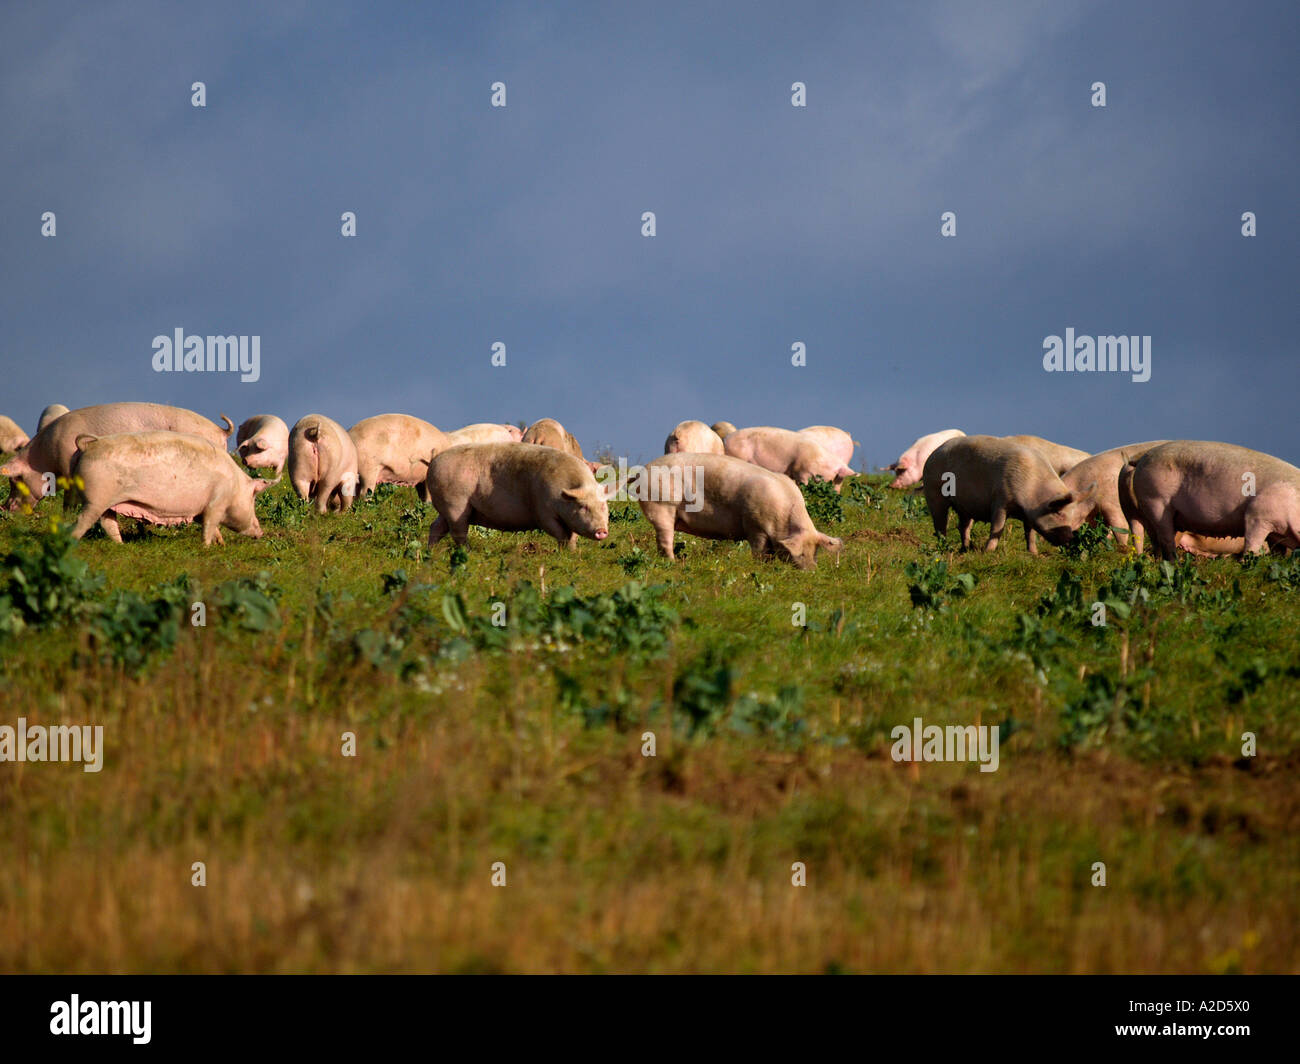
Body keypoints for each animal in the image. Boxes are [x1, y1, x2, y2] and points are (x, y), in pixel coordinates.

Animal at [69, 431, 274, 545]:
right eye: (253, 499)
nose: (261, 532)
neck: (235, 486)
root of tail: (89, 446)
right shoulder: (216, 504)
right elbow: (209, 526)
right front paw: (206, 547)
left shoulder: (203, 509)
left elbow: (212, 527)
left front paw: (221, 544)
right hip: (96, 498)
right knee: (84, 520)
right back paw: (72, 541)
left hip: (106, 503)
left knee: (108, 523)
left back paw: (121, 546)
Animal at [425, 442, 609, 551]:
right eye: (583, 506)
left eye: (603, 506)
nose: (602, 531)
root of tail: (434, 460)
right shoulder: (542, 511)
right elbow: (560, 533)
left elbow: (573, 536)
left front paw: (572, 553)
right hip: (455, 503)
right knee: (458, 532)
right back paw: (467, 552)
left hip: (447, 507)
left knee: (436, 527)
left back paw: (431, 552)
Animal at [636, 452, 842, 570]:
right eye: (800, 554)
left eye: (815, 552)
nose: (812, 572)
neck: (783, 517)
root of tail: (642, 471)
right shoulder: (754, 525)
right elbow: (759, 551)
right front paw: (761, 568)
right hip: (662, 505)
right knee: (665, 539)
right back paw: (674, 564)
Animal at [923, 435, 1078, 554]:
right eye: (1058, 513)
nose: (1071, 537)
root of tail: (932, 454)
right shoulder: (1000, 500)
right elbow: (997, 527)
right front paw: (988, 552)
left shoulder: (1029, 514)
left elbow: (1030, 533)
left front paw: (1034, 554)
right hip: (934, 492)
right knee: (940, 524)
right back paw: (945, 548)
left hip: (964, 506)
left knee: (963, 526)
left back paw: (966, 549)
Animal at [1118, 441, 1300, 560]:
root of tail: (1140, 458)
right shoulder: (1258, 516)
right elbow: (1251, 546)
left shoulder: (1277, 537)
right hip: (1157, 501)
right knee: (1165, 539)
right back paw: (1173, 564)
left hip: (1132, 509)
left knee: (1142, 535)